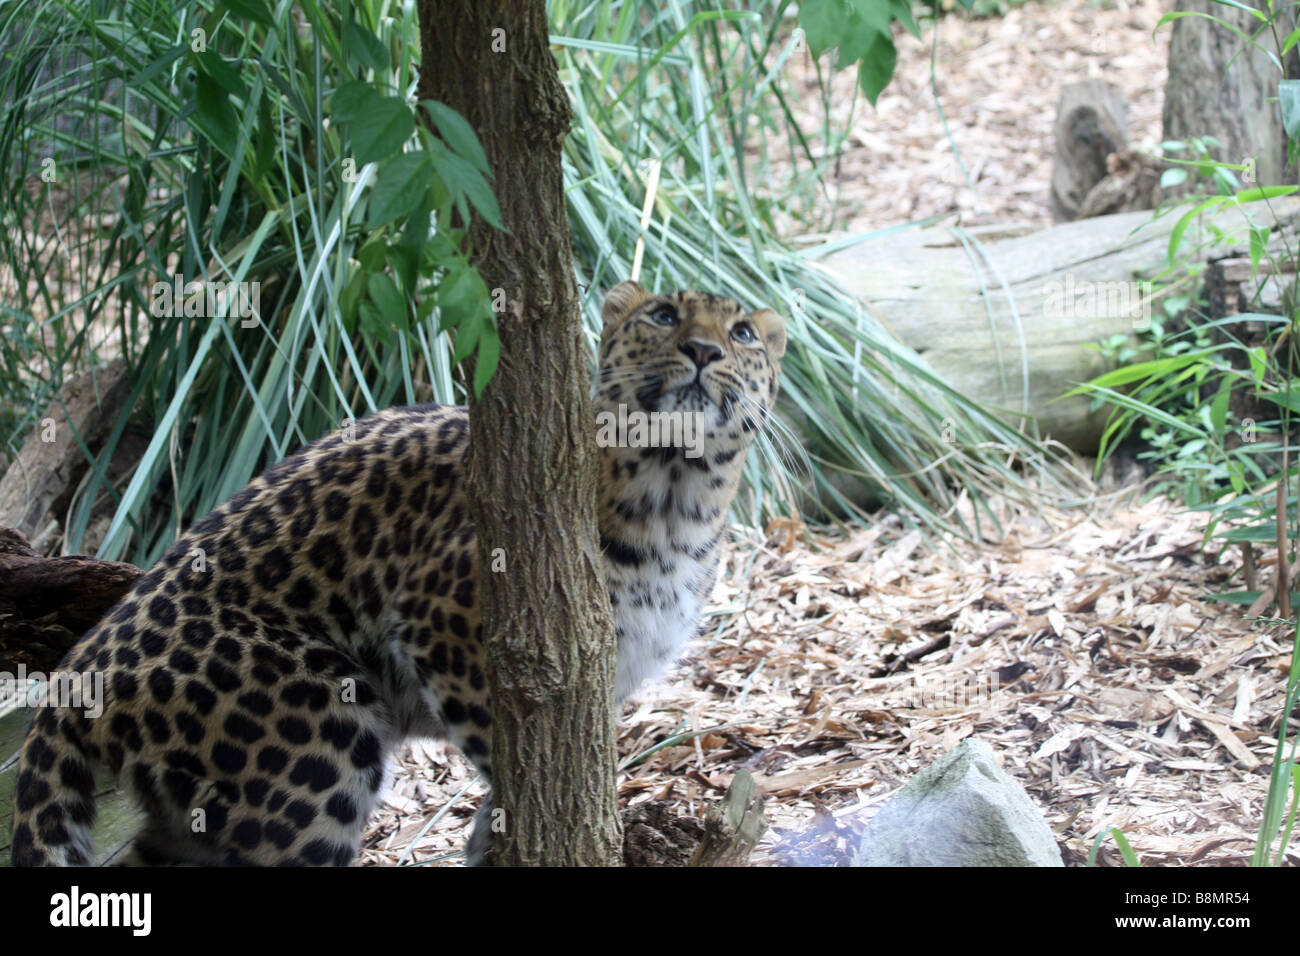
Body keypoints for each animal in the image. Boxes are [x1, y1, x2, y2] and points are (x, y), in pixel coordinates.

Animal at [9, 280, 786, 866]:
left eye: (743, 333)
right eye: (665, 316)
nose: (704, 349)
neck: (677, 499)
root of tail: (82, 665)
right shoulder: (446, 620)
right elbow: (508, 744)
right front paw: (507, 827)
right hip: (312, 744)